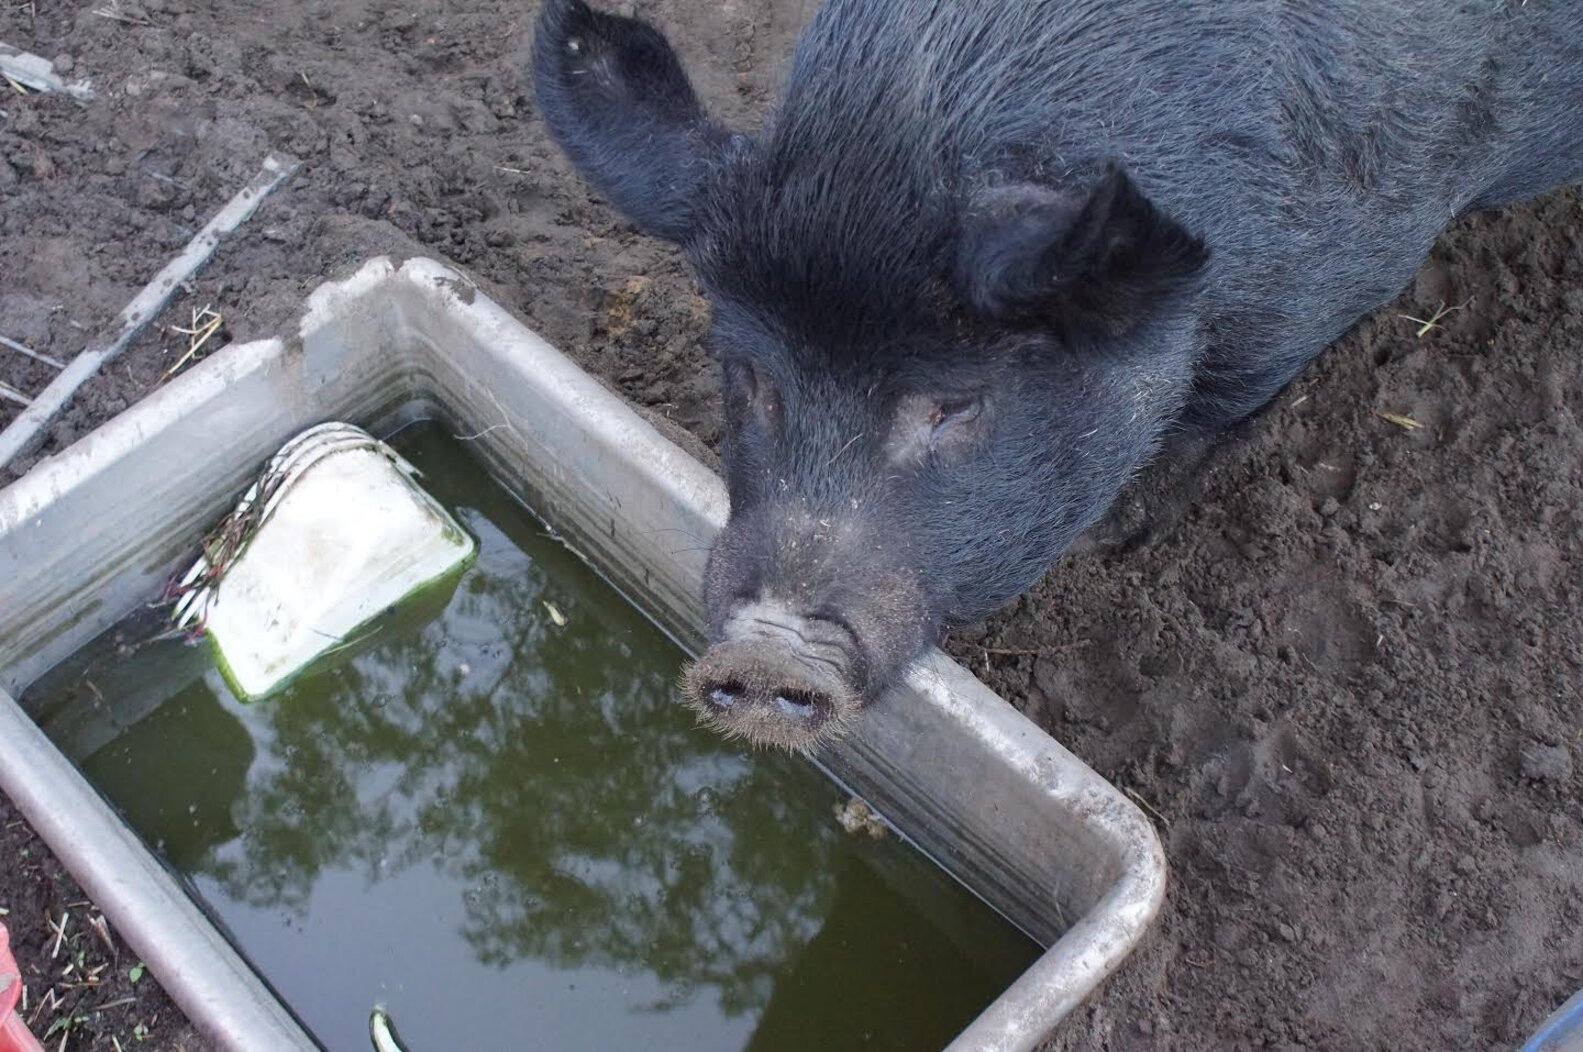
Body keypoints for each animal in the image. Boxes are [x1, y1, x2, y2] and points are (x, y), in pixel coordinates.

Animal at [534, 0, 1583, 749]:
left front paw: (1115, 543)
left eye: (956, 403)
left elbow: (1216, 425)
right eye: (747, 373)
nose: (762, 650)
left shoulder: (1328, 292)